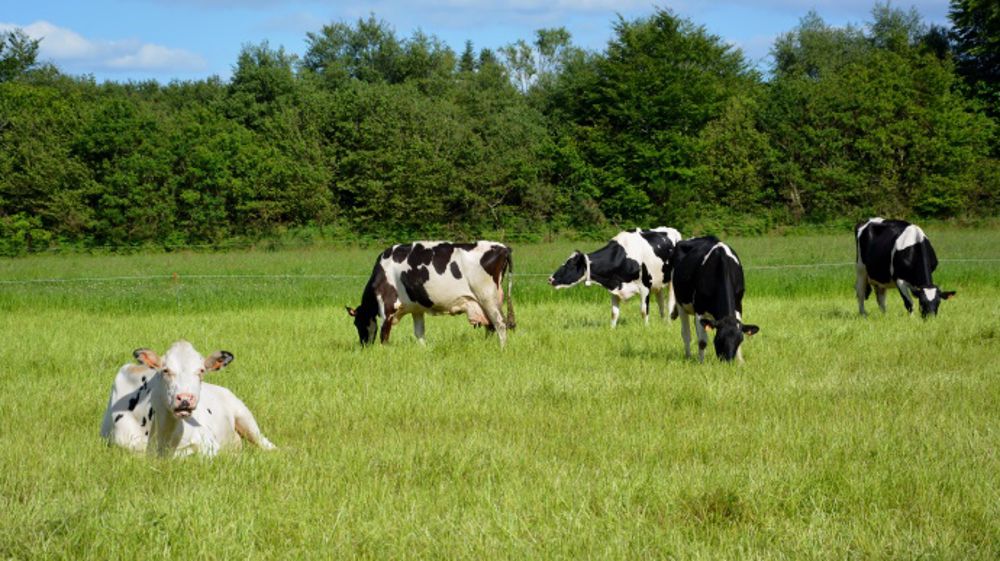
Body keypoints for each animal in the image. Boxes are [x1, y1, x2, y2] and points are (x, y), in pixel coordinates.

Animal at [346, 241, 515, 347]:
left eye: (357, 323)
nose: (363, 345)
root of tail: (503, 247)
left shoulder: (387, 307)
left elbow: (384, 335)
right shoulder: (416, 309)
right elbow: (419, 333)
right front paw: (423, 350)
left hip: (488, 298)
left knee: (500, 324)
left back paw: (501, 349)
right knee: (491, 326)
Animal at [548, 227, 682, 327]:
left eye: (570, 265)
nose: (550, 279)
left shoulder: (645, 287)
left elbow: (644, 311)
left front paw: (646, 329)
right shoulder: (614, 287)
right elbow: (614, 313)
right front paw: (612, 329)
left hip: (671, 281)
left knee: (669, 303)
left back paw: (668, 323)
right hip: (657, 282)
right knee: (661, 303)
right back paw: (662, 321)